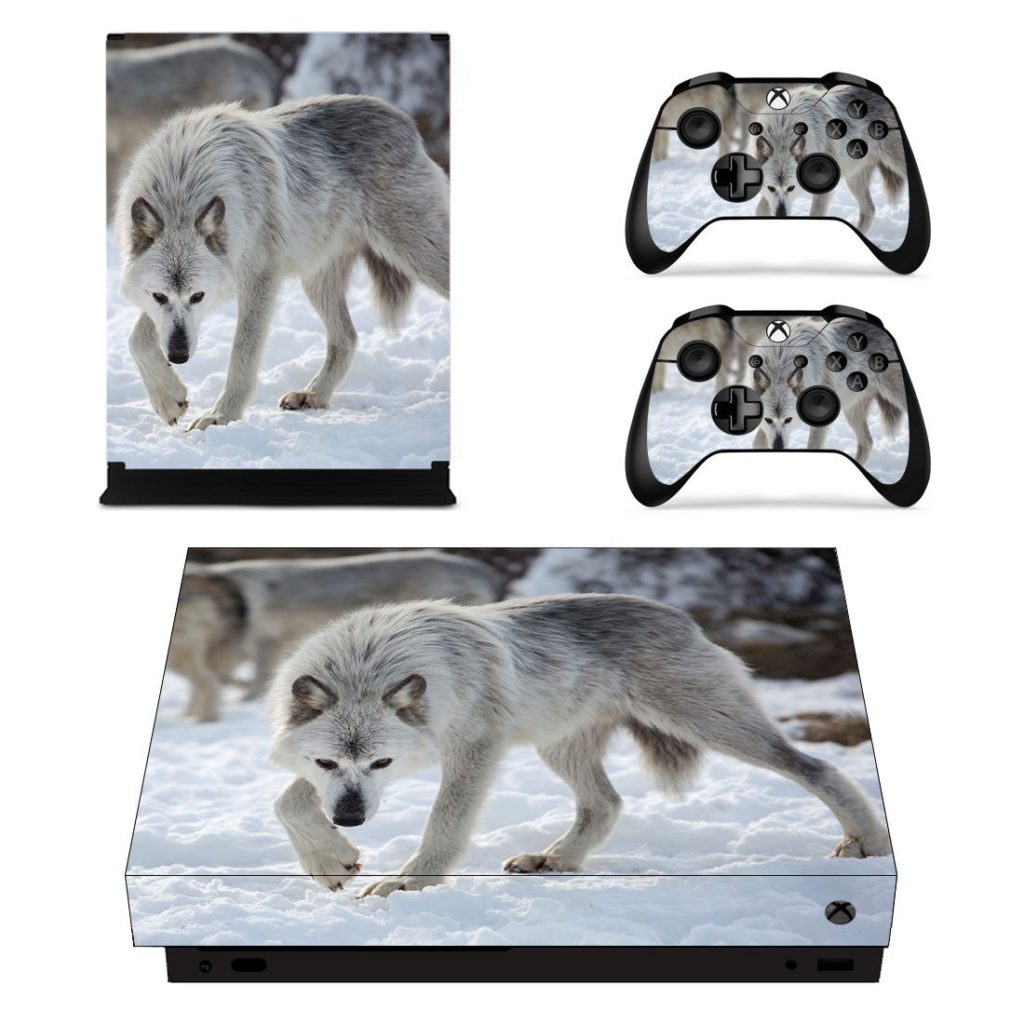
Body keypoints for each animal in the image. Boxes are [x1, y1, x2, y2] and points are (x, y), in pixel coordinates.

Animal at [116, 95, 449, 430]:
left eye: (197, 296)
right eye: (159, 296)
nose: (179, 355)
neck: (182, 182)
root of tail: (402, 118)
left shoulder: (259, 280)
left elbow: (243, 354)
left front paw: (221, 415)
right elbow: (136, 340)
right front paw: (168, 399)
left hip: (417, 253)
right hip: (316, 280)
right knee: (347, 338)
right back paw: (313, 395)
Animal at [268, 595, 891, 896]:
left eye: (382, 762)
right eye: (326, 761)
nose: (350, 820)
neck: (371, 657)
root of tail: (684, 617)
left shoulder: (475, 750)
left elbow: (444, 826)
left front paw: (407, 883)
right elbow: (286, 801)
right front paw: (330, 863)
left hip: (710, 725)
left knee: (817, 767)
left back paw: (867, 843)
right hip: (558, 747)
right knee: (606, 803)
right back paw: (556, 860)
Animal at [749, 318, 906, 462]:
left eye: (788, 419)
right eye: (768, 419)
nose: (778, 447)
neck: (780, 360)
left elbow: (812, 448)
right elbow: (757, 442)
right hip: (851, 410)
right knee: (867, 443)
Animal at [750, 85, 906, 232]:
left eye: (791, 188)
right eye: (771, 188)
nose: (781, 215)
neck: (782, 129)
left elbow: (815, 215)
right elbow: (760, 210)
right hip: (853, 179)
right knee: (869, 211)